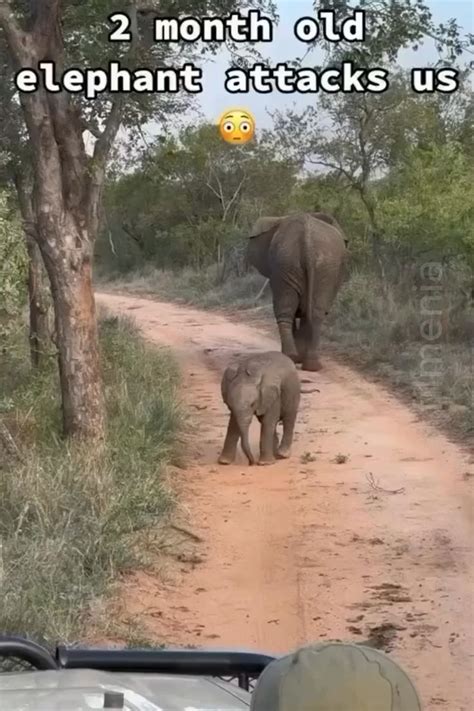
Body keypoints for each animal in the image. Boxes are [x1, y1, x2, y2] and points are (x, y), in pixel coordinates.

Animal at [247, 211, 348, 371]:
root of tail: (307, 241)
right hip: (301, 265)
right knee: (307, 313)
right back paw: (306, 363)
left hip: (298, 264)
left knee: (293, 311)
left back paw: (298, 360)